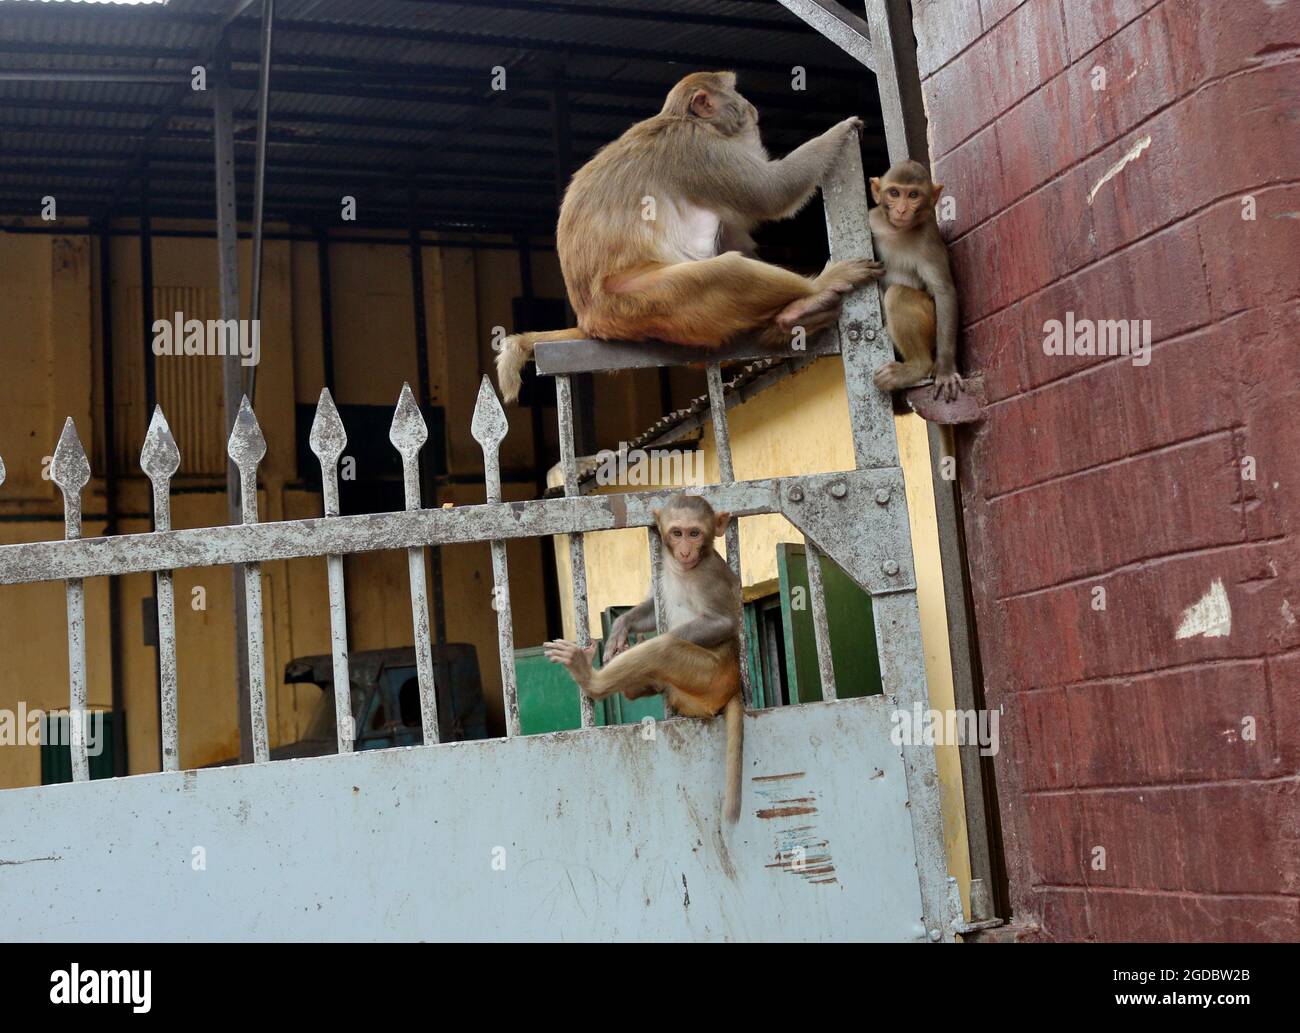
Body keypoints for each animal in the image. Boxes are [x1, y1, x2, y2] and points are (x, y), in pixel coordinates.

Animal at [496, 70, 881, 402]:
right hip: (643, 302)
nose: (749, 104)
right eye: (734, 90)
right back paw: (815, 293)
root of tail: (590, 320)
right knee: (728, 271)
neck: (685, 120)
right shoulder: (701, 150)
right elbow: (772, 193)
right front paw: (842, 129)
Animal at [543, 494, 745, 823]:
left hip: (709, 676)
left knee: (664, 651)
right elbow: (651, 608)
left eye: (695, 533)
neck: (683, 569)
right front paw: (621, 627)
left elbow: (724, 624)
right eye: (677, 533)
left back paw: (590, 677)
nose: (686, 550)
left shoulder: (709, 576)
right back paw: (631, 684)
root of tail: (734, 686)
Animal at [868, 160, 965, 402]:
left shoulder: (929, 236)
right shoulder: (872, 221)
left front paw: (946, 370)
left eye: (913, 195)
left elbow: (943, 291)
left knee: (897, 295)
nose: (902, 209)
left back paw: (917, 368)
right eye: (894, 193)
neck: (896, 230)